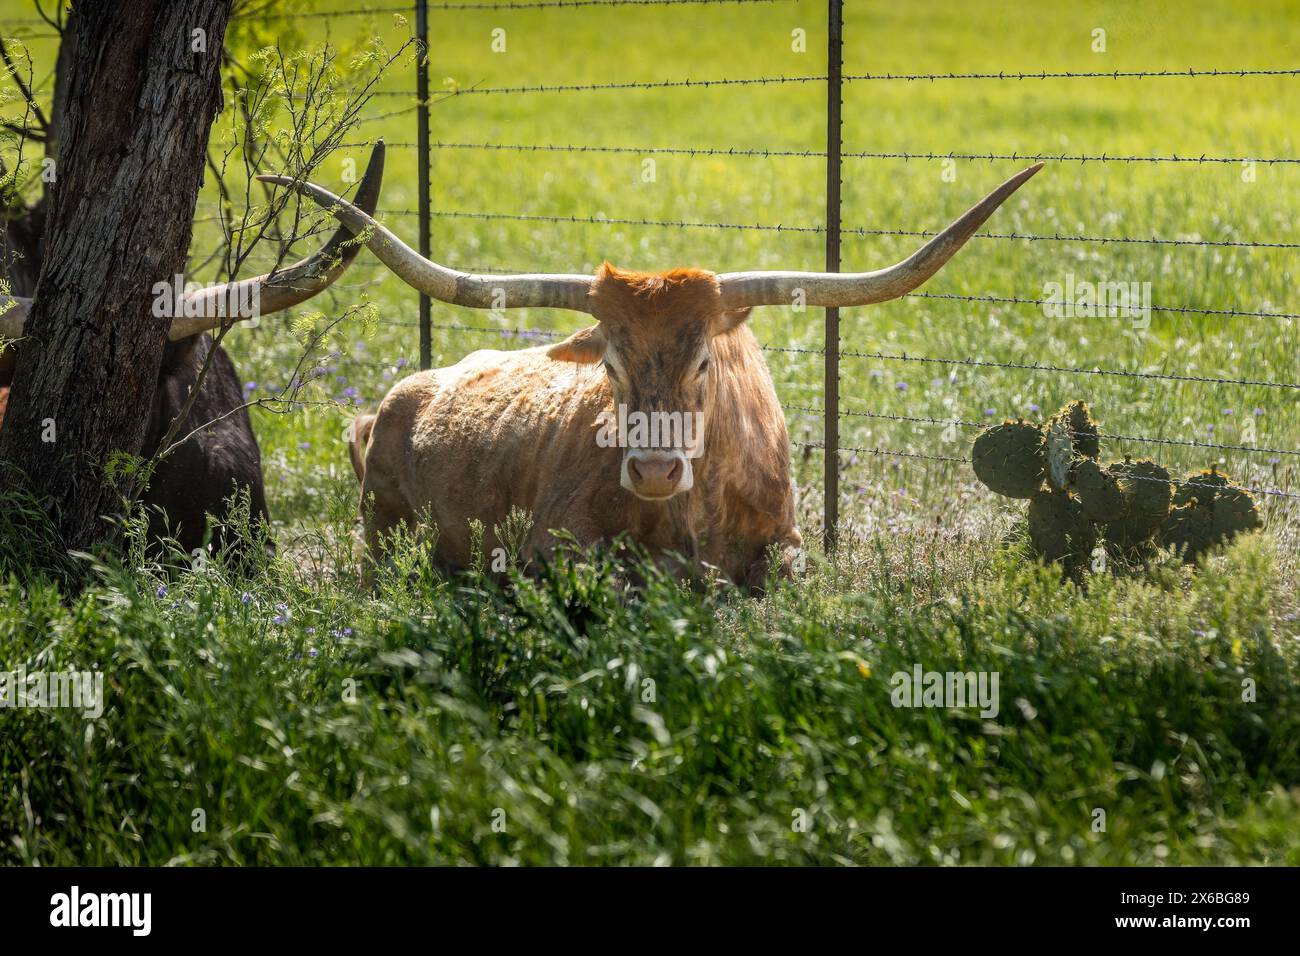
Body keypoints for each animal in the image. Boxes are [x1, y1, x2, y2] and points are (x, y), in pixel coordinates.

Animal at [261, 161, 1041, 589]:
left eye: (703, 361)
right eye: (610, 363)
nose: (656, 470)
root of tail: (395, 398)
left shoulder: (789, 542)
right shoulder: (553, 546)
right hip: (382, 536)